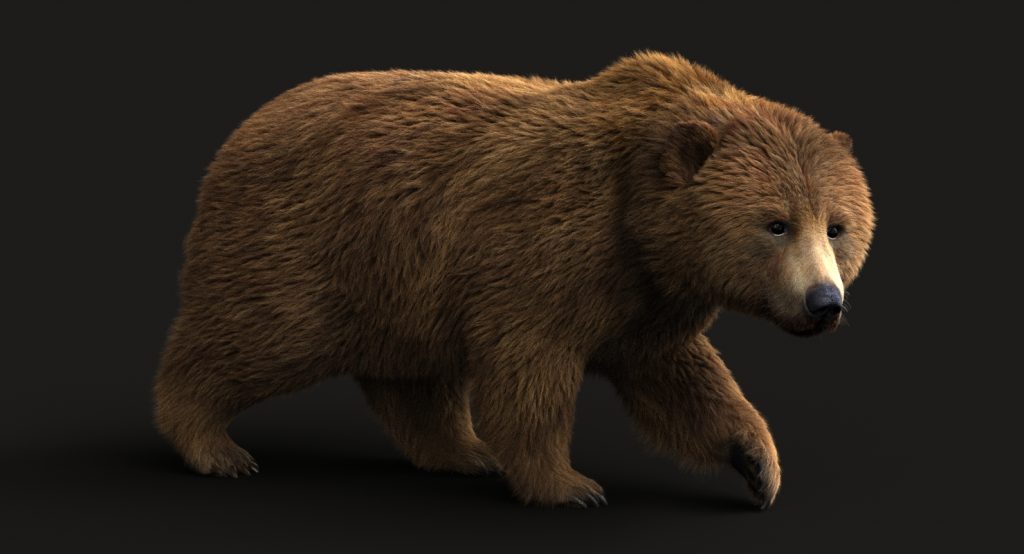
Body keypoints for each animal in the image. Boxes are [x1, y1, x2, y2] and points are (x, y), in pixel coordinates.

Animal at [154, 51, 875, 510]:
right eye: (775, 223)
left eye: (837, 226)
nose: (825, 302)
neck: (639, 219)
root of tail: (243, 130)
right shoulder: (547, 248)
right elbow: (531, 370)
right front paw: (569, 484)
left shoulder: (645, 296)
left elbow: (682, 379)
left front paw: (758, 463)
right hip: (309, 245)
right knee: (255, 332)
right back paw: (213, 445)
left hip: (404, 284)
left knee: (414, 378)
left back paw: (462, 450)